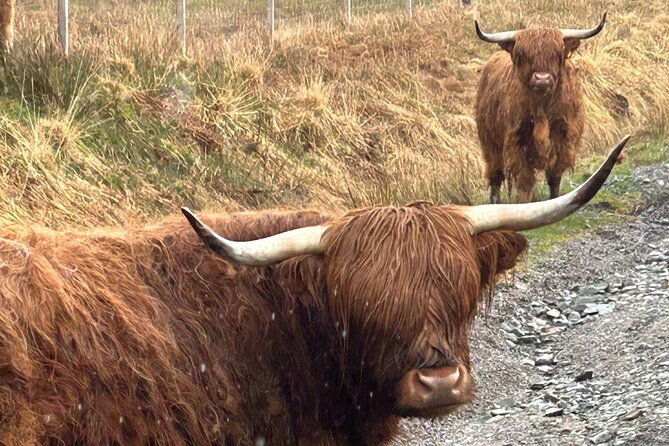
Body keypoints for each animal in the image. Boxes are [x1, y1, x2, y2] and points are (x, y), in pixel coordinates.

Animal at [474, 14, 607, 203]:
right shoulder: (517, 143)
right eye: (523, 54)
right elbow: (524, 184)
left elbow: (554, 178)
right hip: (491, 144)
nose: (542, 78)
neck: (543, 108)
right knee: (495, 176)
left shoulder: (563, 139)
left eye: (557, 53)